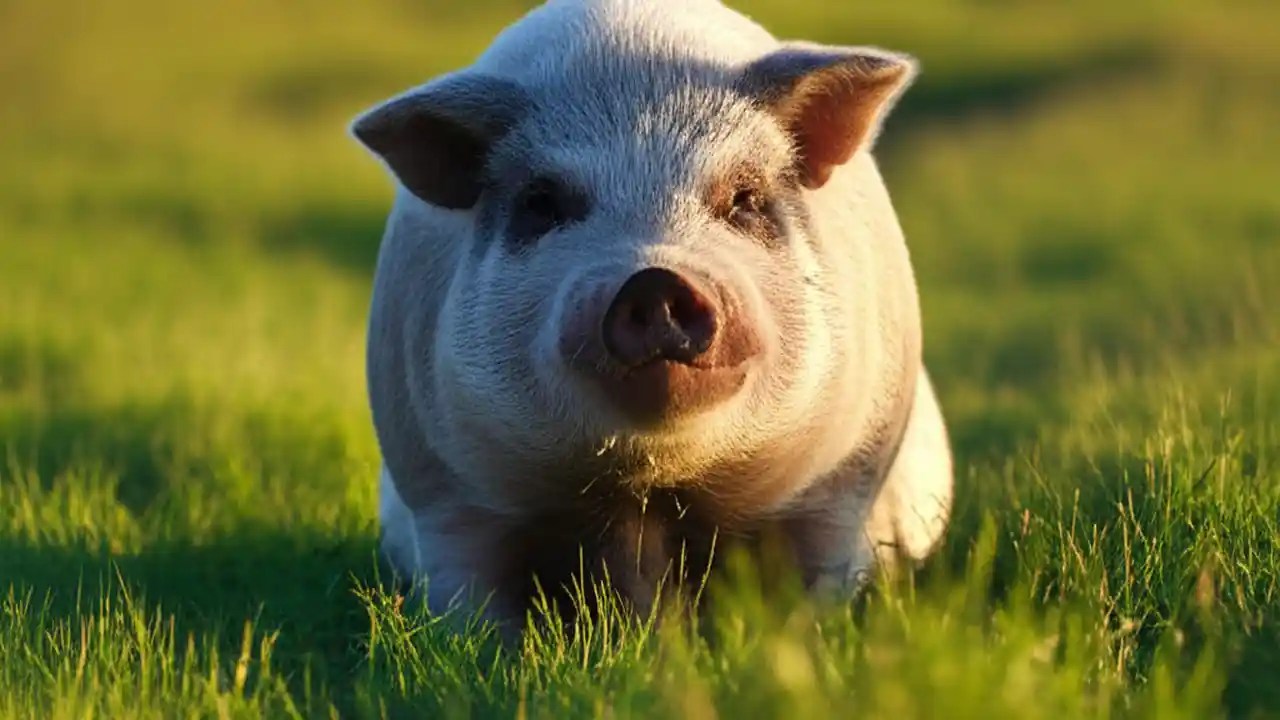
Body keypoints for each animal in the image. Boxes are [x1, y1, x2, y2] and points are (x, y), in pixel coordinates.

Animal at [350, 0, 953, 632]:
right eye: (542, 204)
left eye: (744, 200)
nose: (655, 279)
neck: (648, 491)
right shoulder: (445, 494)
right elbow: (471, 604)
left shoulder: (839, 488)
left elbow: (816, 588)